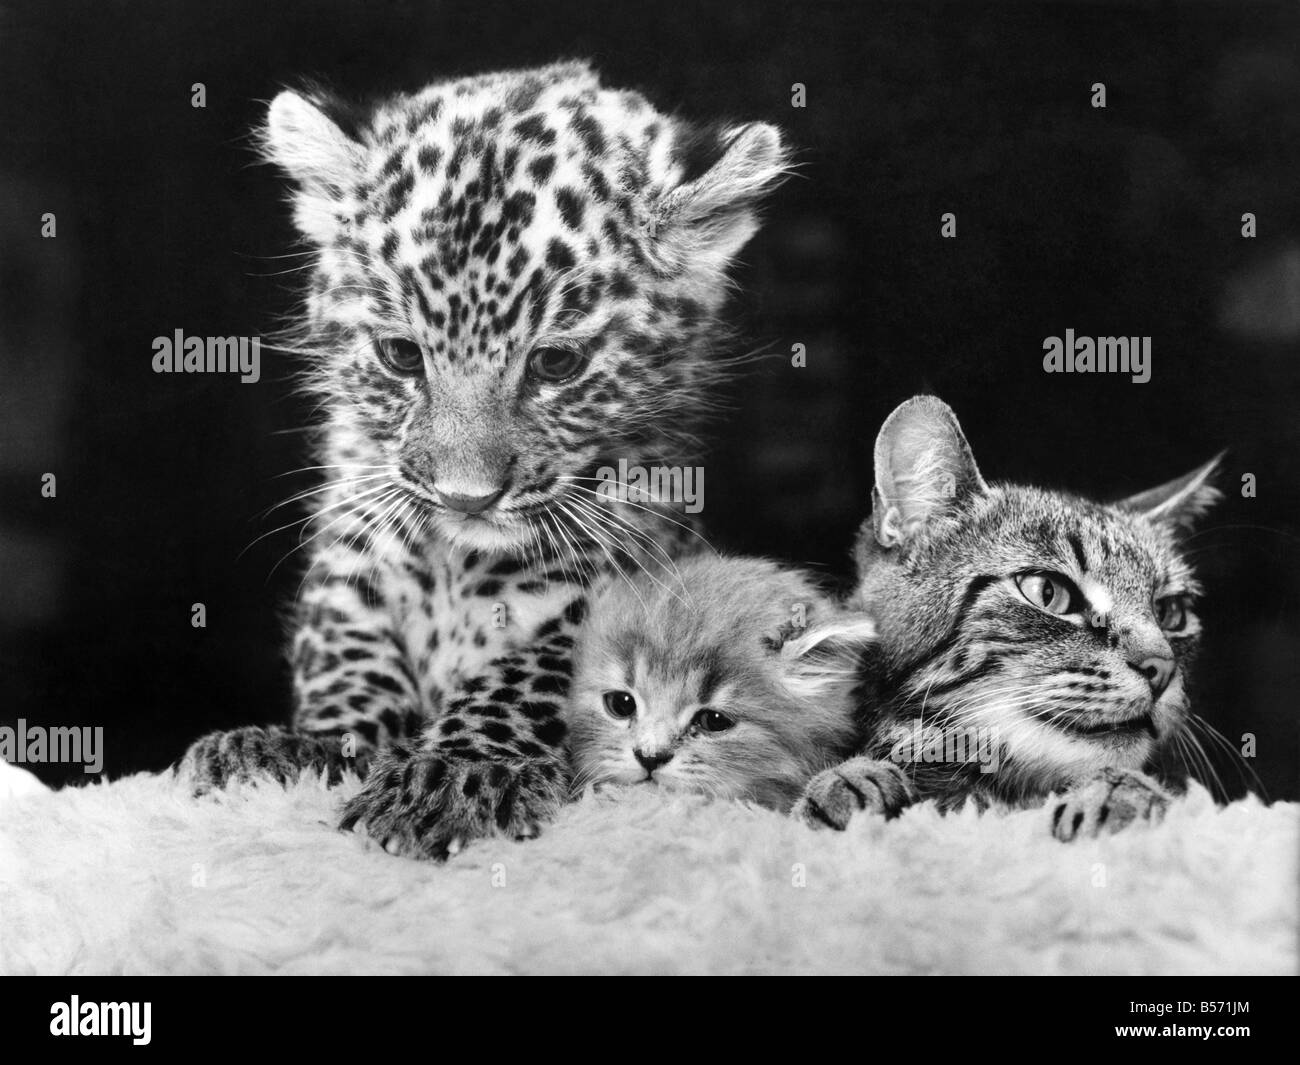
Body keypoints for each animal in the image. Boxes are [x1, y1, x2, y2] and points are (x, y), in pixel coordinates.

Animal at [176, 60, 789, 860]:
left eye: (556, 363)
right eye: (400, 354)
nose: (466, 497)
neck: (456, 561)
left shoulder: (620, 580)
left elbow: (528, 674)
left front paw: (455, 773)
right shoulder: (354, 556)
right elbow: (347, 658)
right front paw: (303, 749)